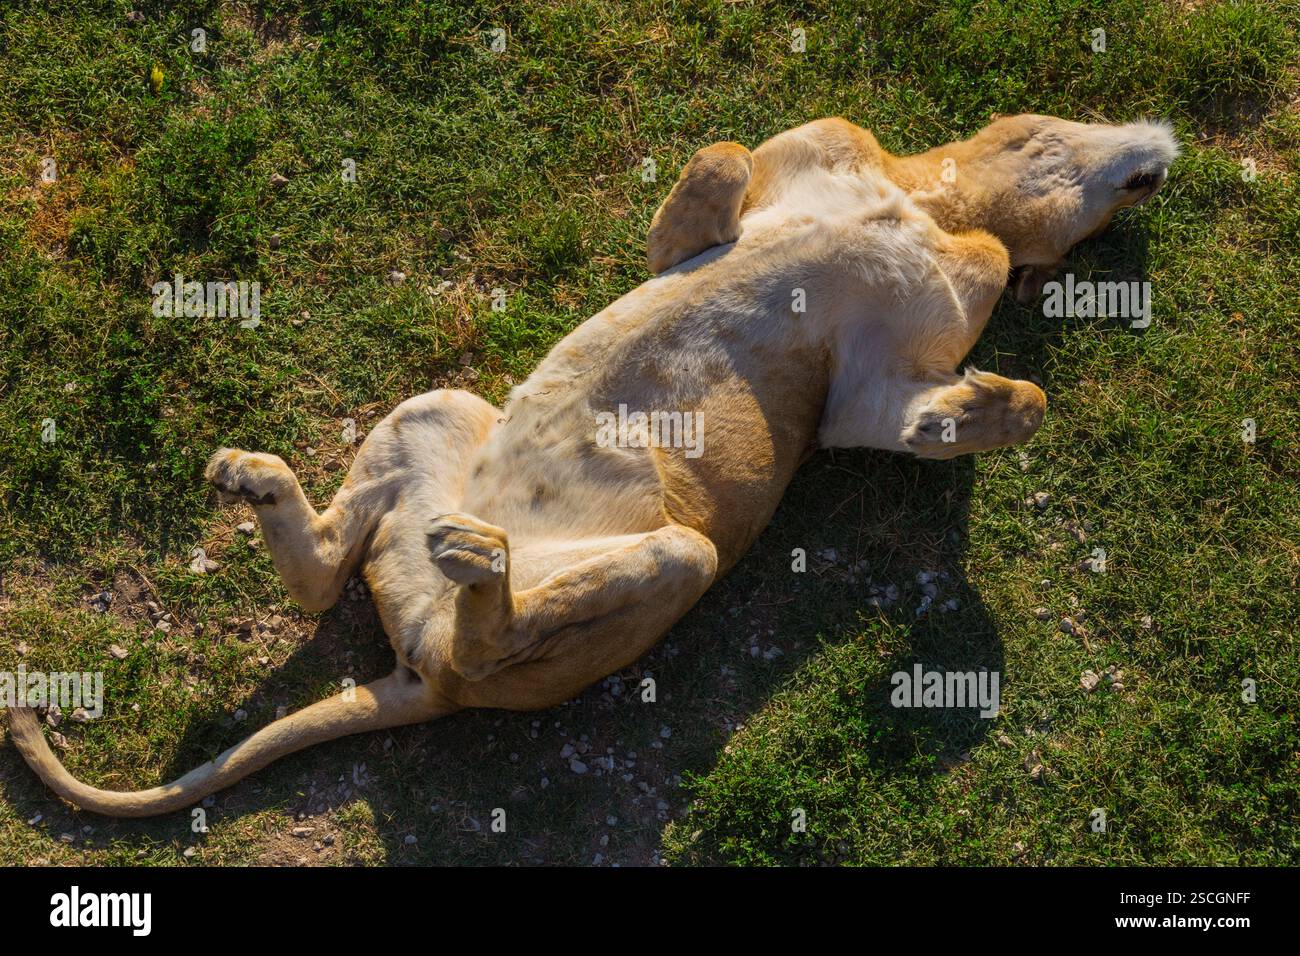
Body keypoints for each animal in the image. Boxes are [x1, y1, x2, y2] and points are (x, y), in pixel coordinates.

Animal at [9, 114, 1178, 816]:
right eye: (1059, 130)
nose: (1158, 158)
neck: (930, 198)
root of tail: (417, 665)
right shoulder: (764, 232)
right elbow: (719, 155)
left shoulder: (874, 388)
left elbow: (994, 406)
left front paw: (1000, 403)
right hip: (441, 409)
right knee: (330, 572)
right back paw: (260, 480)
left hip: (676, 552)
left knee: (478, 634)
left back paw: (471, 562)